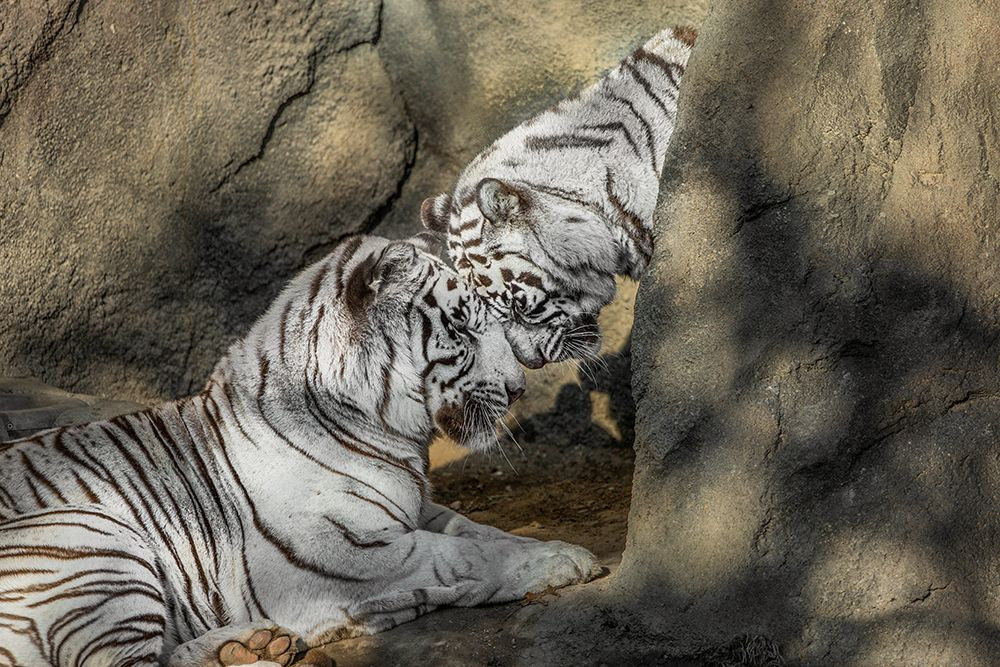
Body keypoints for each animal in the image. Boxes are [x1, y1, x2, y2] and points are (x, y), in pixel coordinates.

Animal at [0, 234, 601, 667]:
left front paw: (547, 546)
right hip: (90, 540)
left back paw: (247, 647)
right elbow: (457, 556)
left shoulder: (415, 508)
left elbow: (476, 530)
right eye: (460, 329)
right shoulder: (332, 556)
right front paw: (563, 560)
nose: (520, 388)